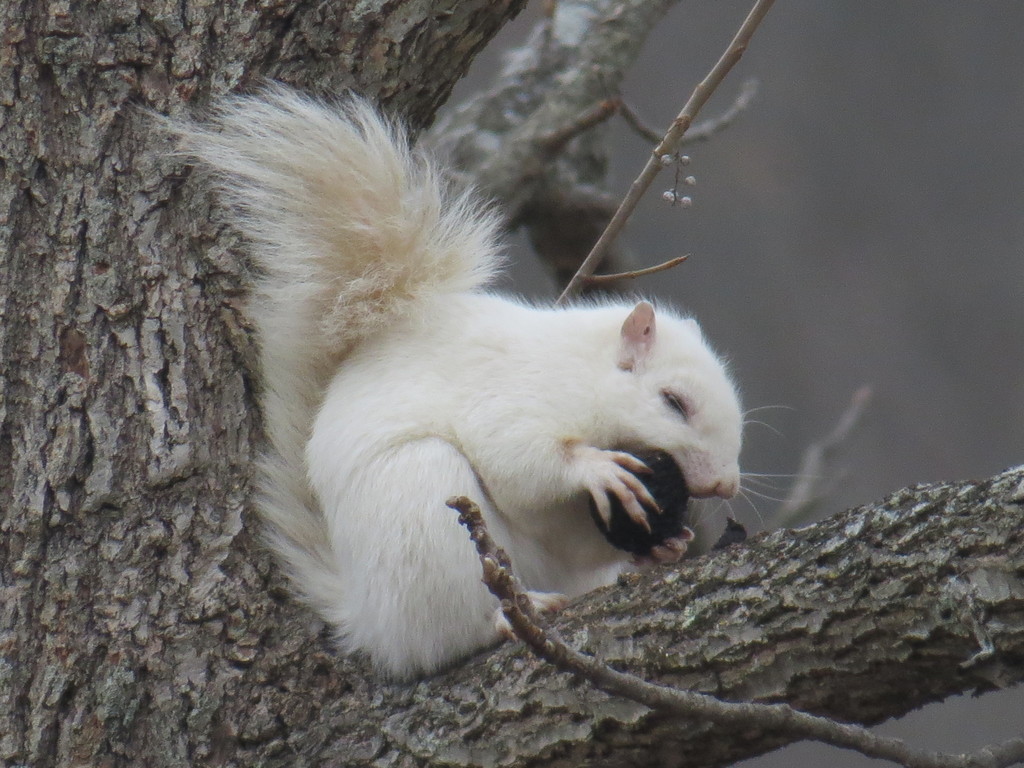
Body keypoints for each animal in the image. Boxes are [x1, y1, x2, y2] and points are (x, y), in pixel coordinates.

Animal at [174, 84, 743, 679]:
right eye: (673, 402)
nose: (726, 485)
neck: (582, 373)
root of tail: (373, 624)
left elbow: (574, 538)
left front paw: (667, 545)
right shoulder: (515, 392)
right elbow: (520, 461)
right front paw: (597, 469)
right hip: (427, 512)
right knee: (454, 630)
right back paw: (510, 614)